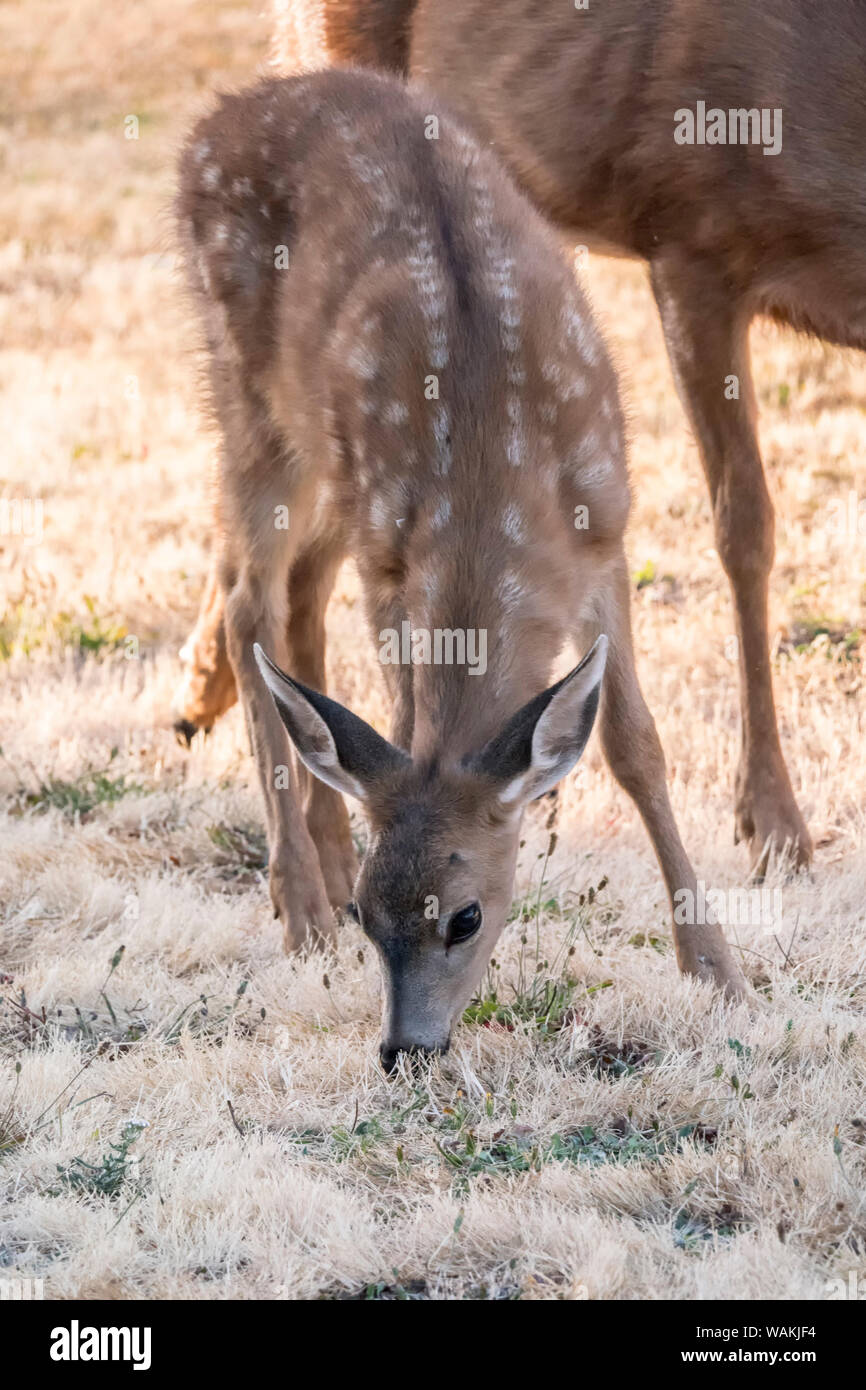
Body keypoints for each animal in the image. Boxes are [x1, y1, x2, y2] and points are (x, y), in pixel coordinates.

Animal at [175, 66, 747, 1068]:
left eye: (467, 917)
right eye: (371, 920)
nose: (406, 1049)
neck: (489, 477)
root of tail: (220, 112)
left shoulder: (605, 532)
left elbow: (635, 745)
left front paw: (716, 969)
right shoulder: (395, 557)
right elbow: (406, 717)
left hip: (321, 466)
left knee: (294, 599)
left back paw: (323, 860)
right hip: (251, 400)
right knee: (252, 603)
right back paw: (299, 901)